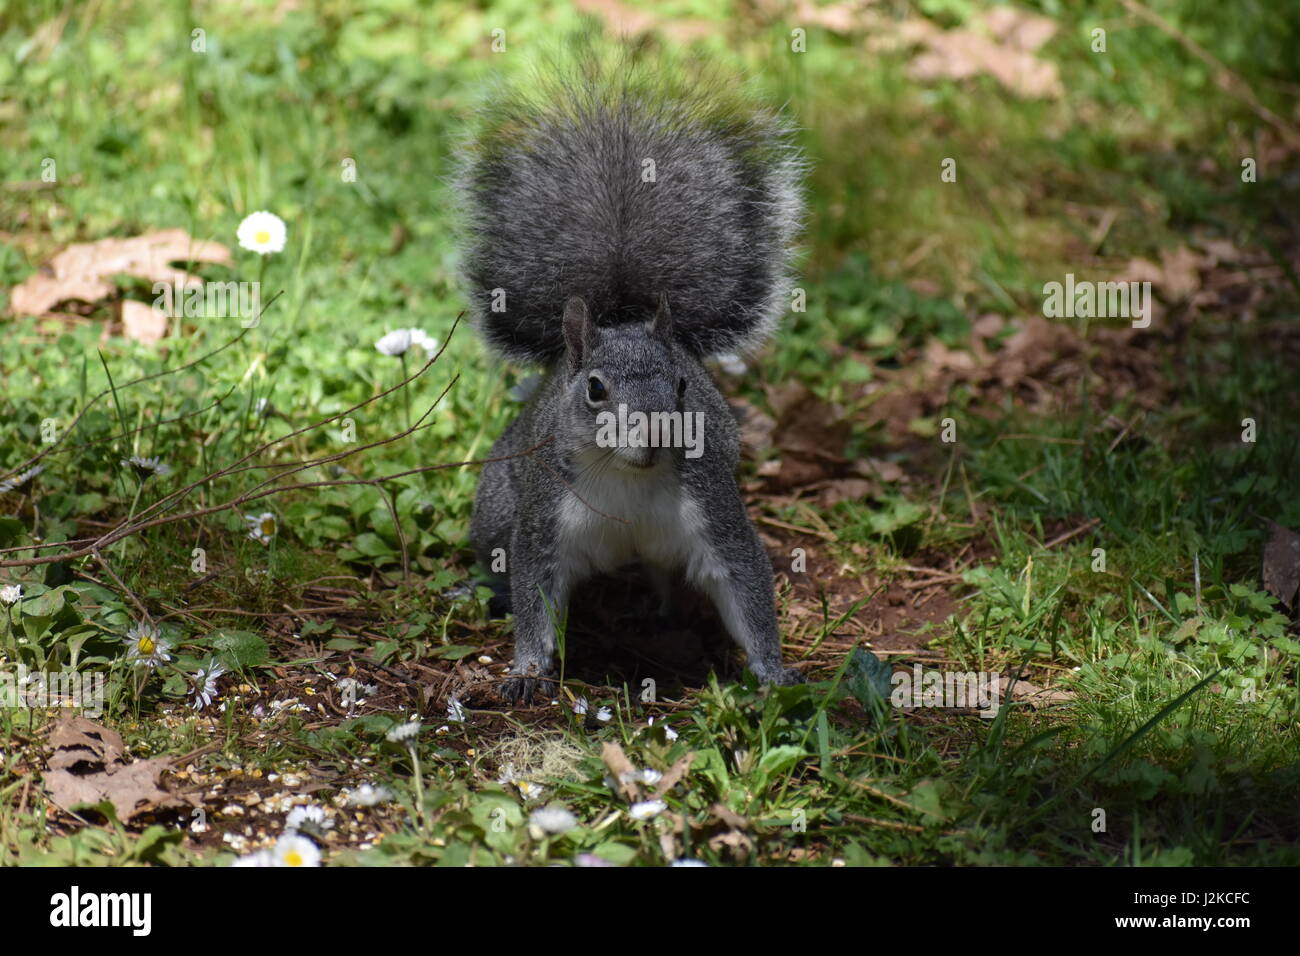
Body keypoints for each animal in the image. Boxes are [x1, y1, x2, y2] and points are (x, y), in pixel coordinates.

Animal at [457, 50, 806, 702]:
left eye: (683, 385)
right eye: (595, 390)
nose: (660, 432)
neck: (628, 478)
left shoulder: (712, 508)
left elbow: (744, 583)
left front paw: (774, 673)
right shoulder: (544, 519)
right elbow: (534, 593)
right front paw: (526, 671)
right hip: (496, 507)